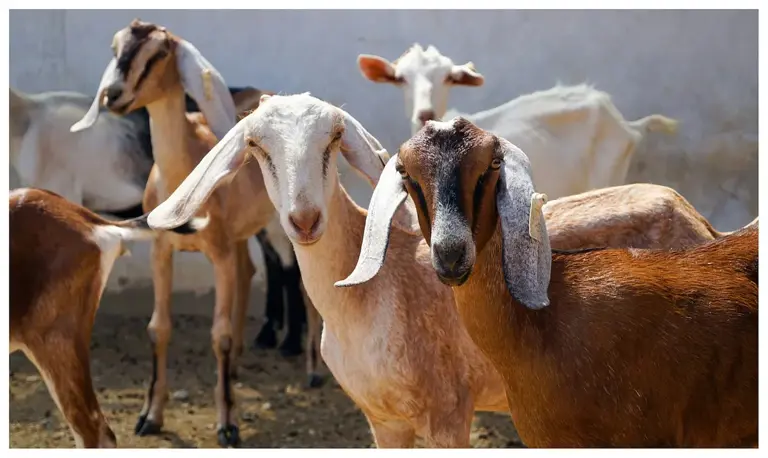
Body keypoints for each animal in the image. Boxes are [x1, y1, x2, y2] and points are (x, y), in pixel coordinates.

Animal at [69, 19, 280, 447]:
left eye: (160, 52)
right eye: (116, 47)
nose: (113, 94)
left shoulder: (218, 254)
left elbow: (219, 335)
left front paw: (228, 424)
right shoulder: (161, 252)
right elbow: (158, 329)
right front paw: (150, 416)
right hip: (239, 238)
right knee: (248, 272)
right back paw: (235, 368)